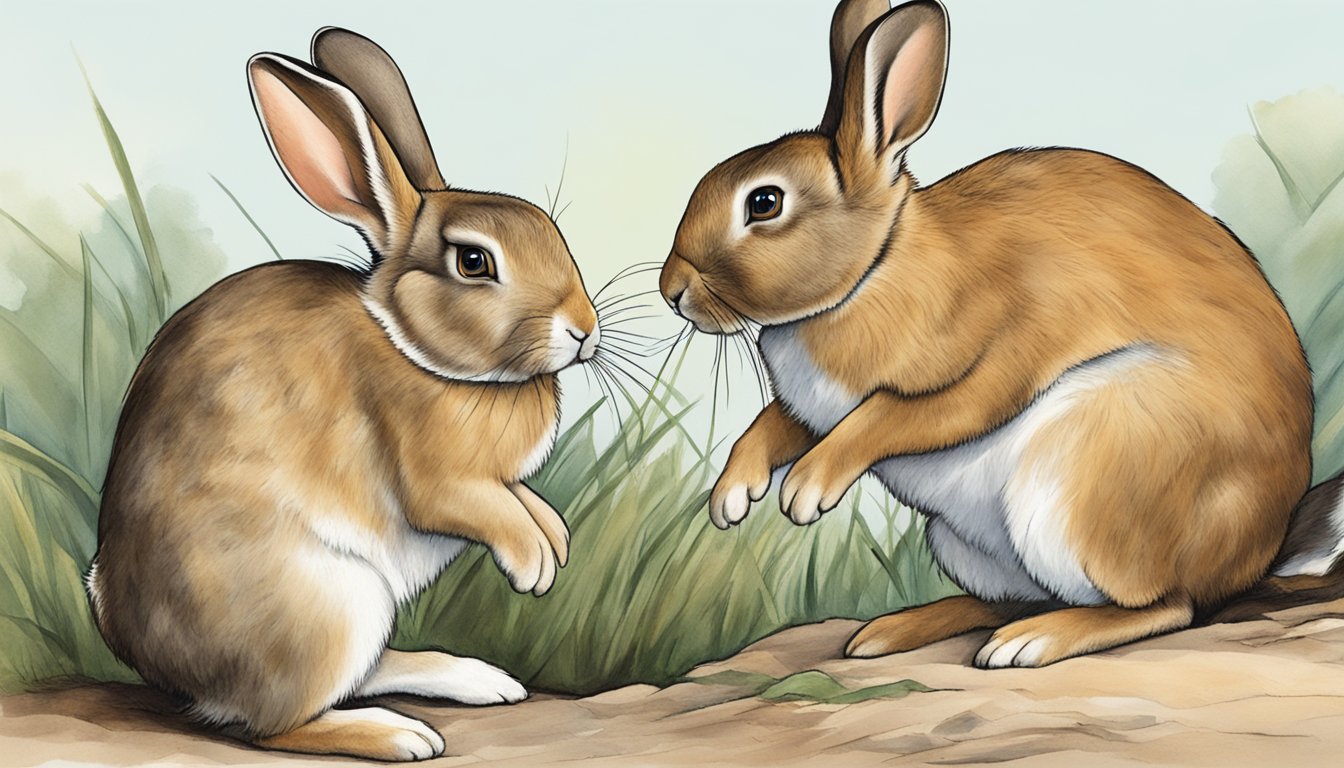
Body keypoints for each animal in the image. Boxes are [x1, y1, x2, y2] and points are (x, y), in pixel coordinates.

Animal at [85, 27, 599, 761]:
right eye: (474, 262)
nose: (585, 330)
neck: (410, 343)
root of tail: (146, 651)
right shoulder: (438, 479)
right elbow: (481, 507)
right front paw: (533, 564)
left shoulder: (499, 482)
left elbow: (522, 499)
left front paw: (554, 539)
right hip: (331, 604)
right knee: (275, 726)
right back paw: (403, 736)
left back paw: (479, 680)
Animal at [659, 0, 1344, 669]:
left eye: (764, 203)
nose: (672, 290)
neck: (877, 266)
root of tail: (1253, 559)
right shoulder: (811, 407)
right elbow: (772, 425)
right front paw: (731, 498)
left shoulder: (987, 365)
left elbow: (892, 418)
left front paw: (806, 490)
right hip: (965, 541)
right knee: (1013, 598)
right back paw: (896, 630)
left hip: (1087, 477)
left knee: (1165, 607)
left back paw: (1031, 643)